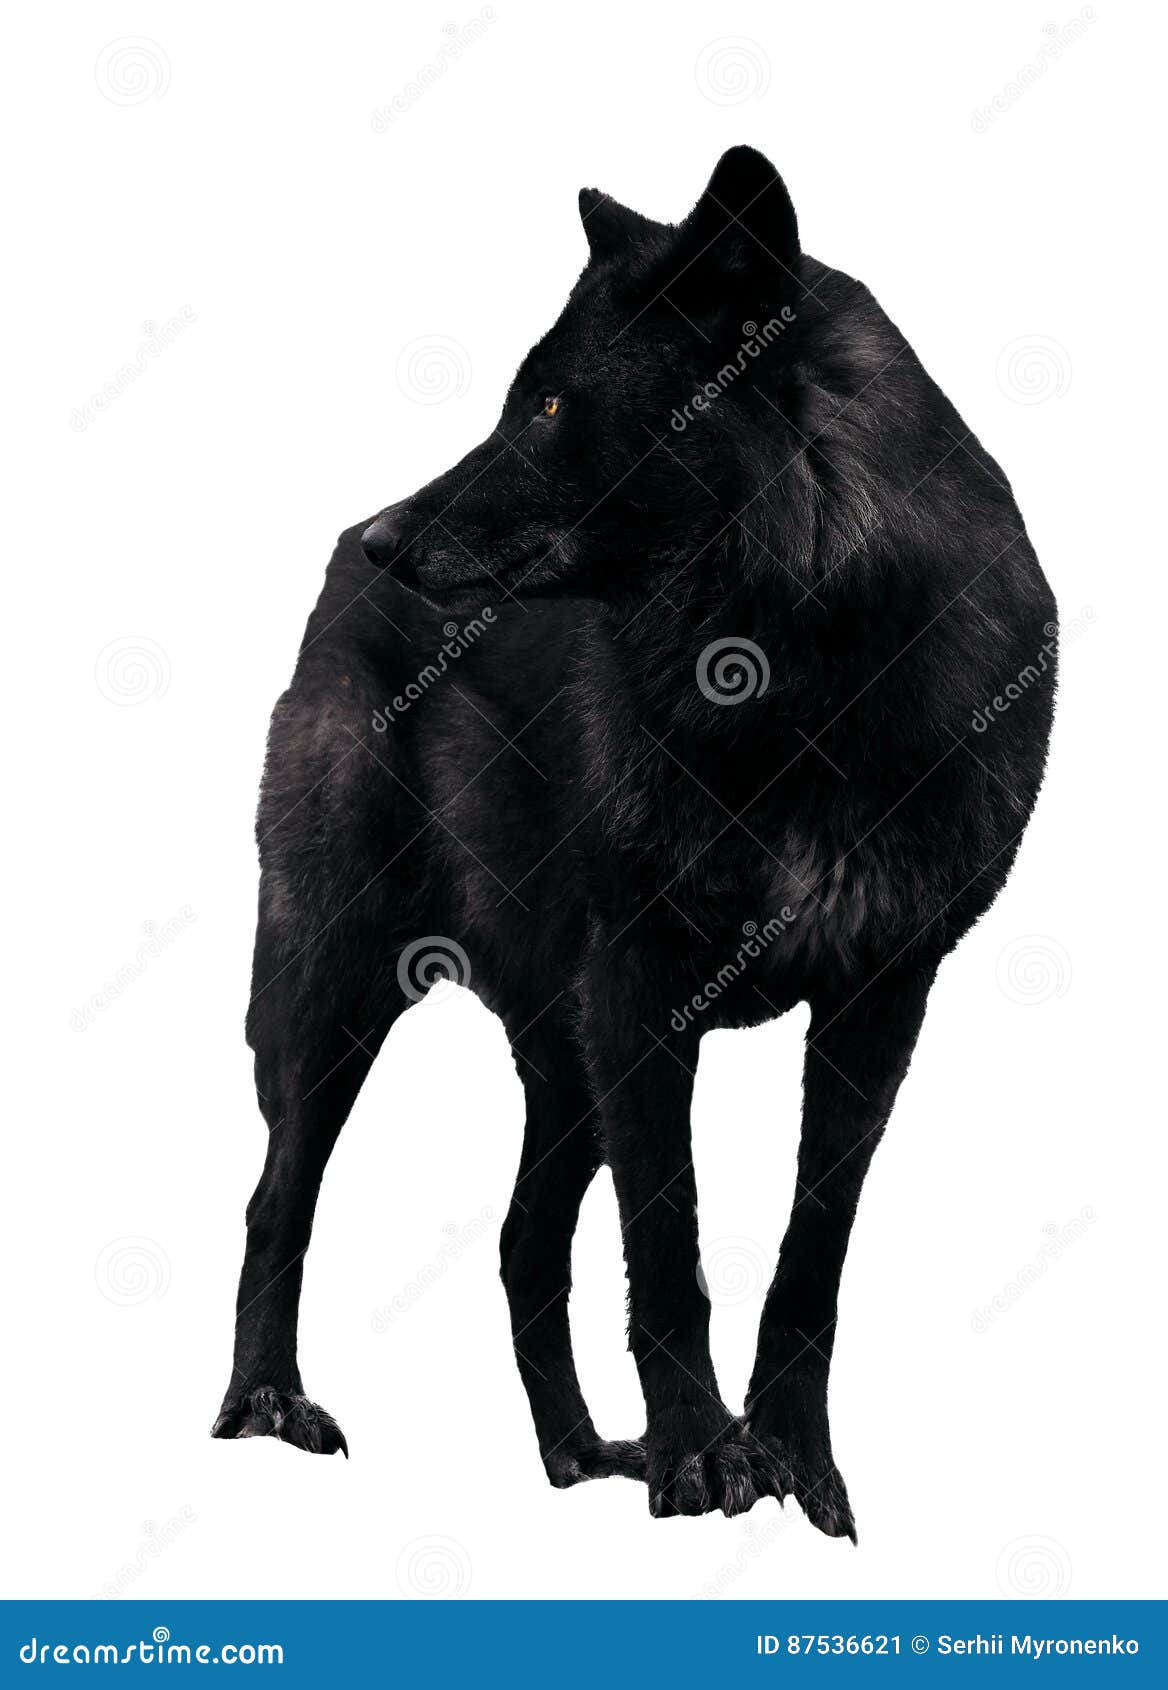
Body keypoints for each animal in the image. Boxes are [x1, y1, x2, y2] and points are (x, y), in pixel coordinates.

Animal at [212, 148, 1056, 1538]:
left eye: (552, 403)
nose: (381, 540)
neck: (802, 682)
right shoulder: (641, 988)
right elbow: (668, 1246)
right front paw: (702, 1458)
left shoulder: (880, 995)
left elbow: (810, 1254)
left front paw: (796, 1463)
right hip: (337, 992)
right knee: (277, 1201)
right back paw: (264, 1408)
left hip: (559, 1060)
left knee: (520, 1239)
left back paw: (572, 1452)